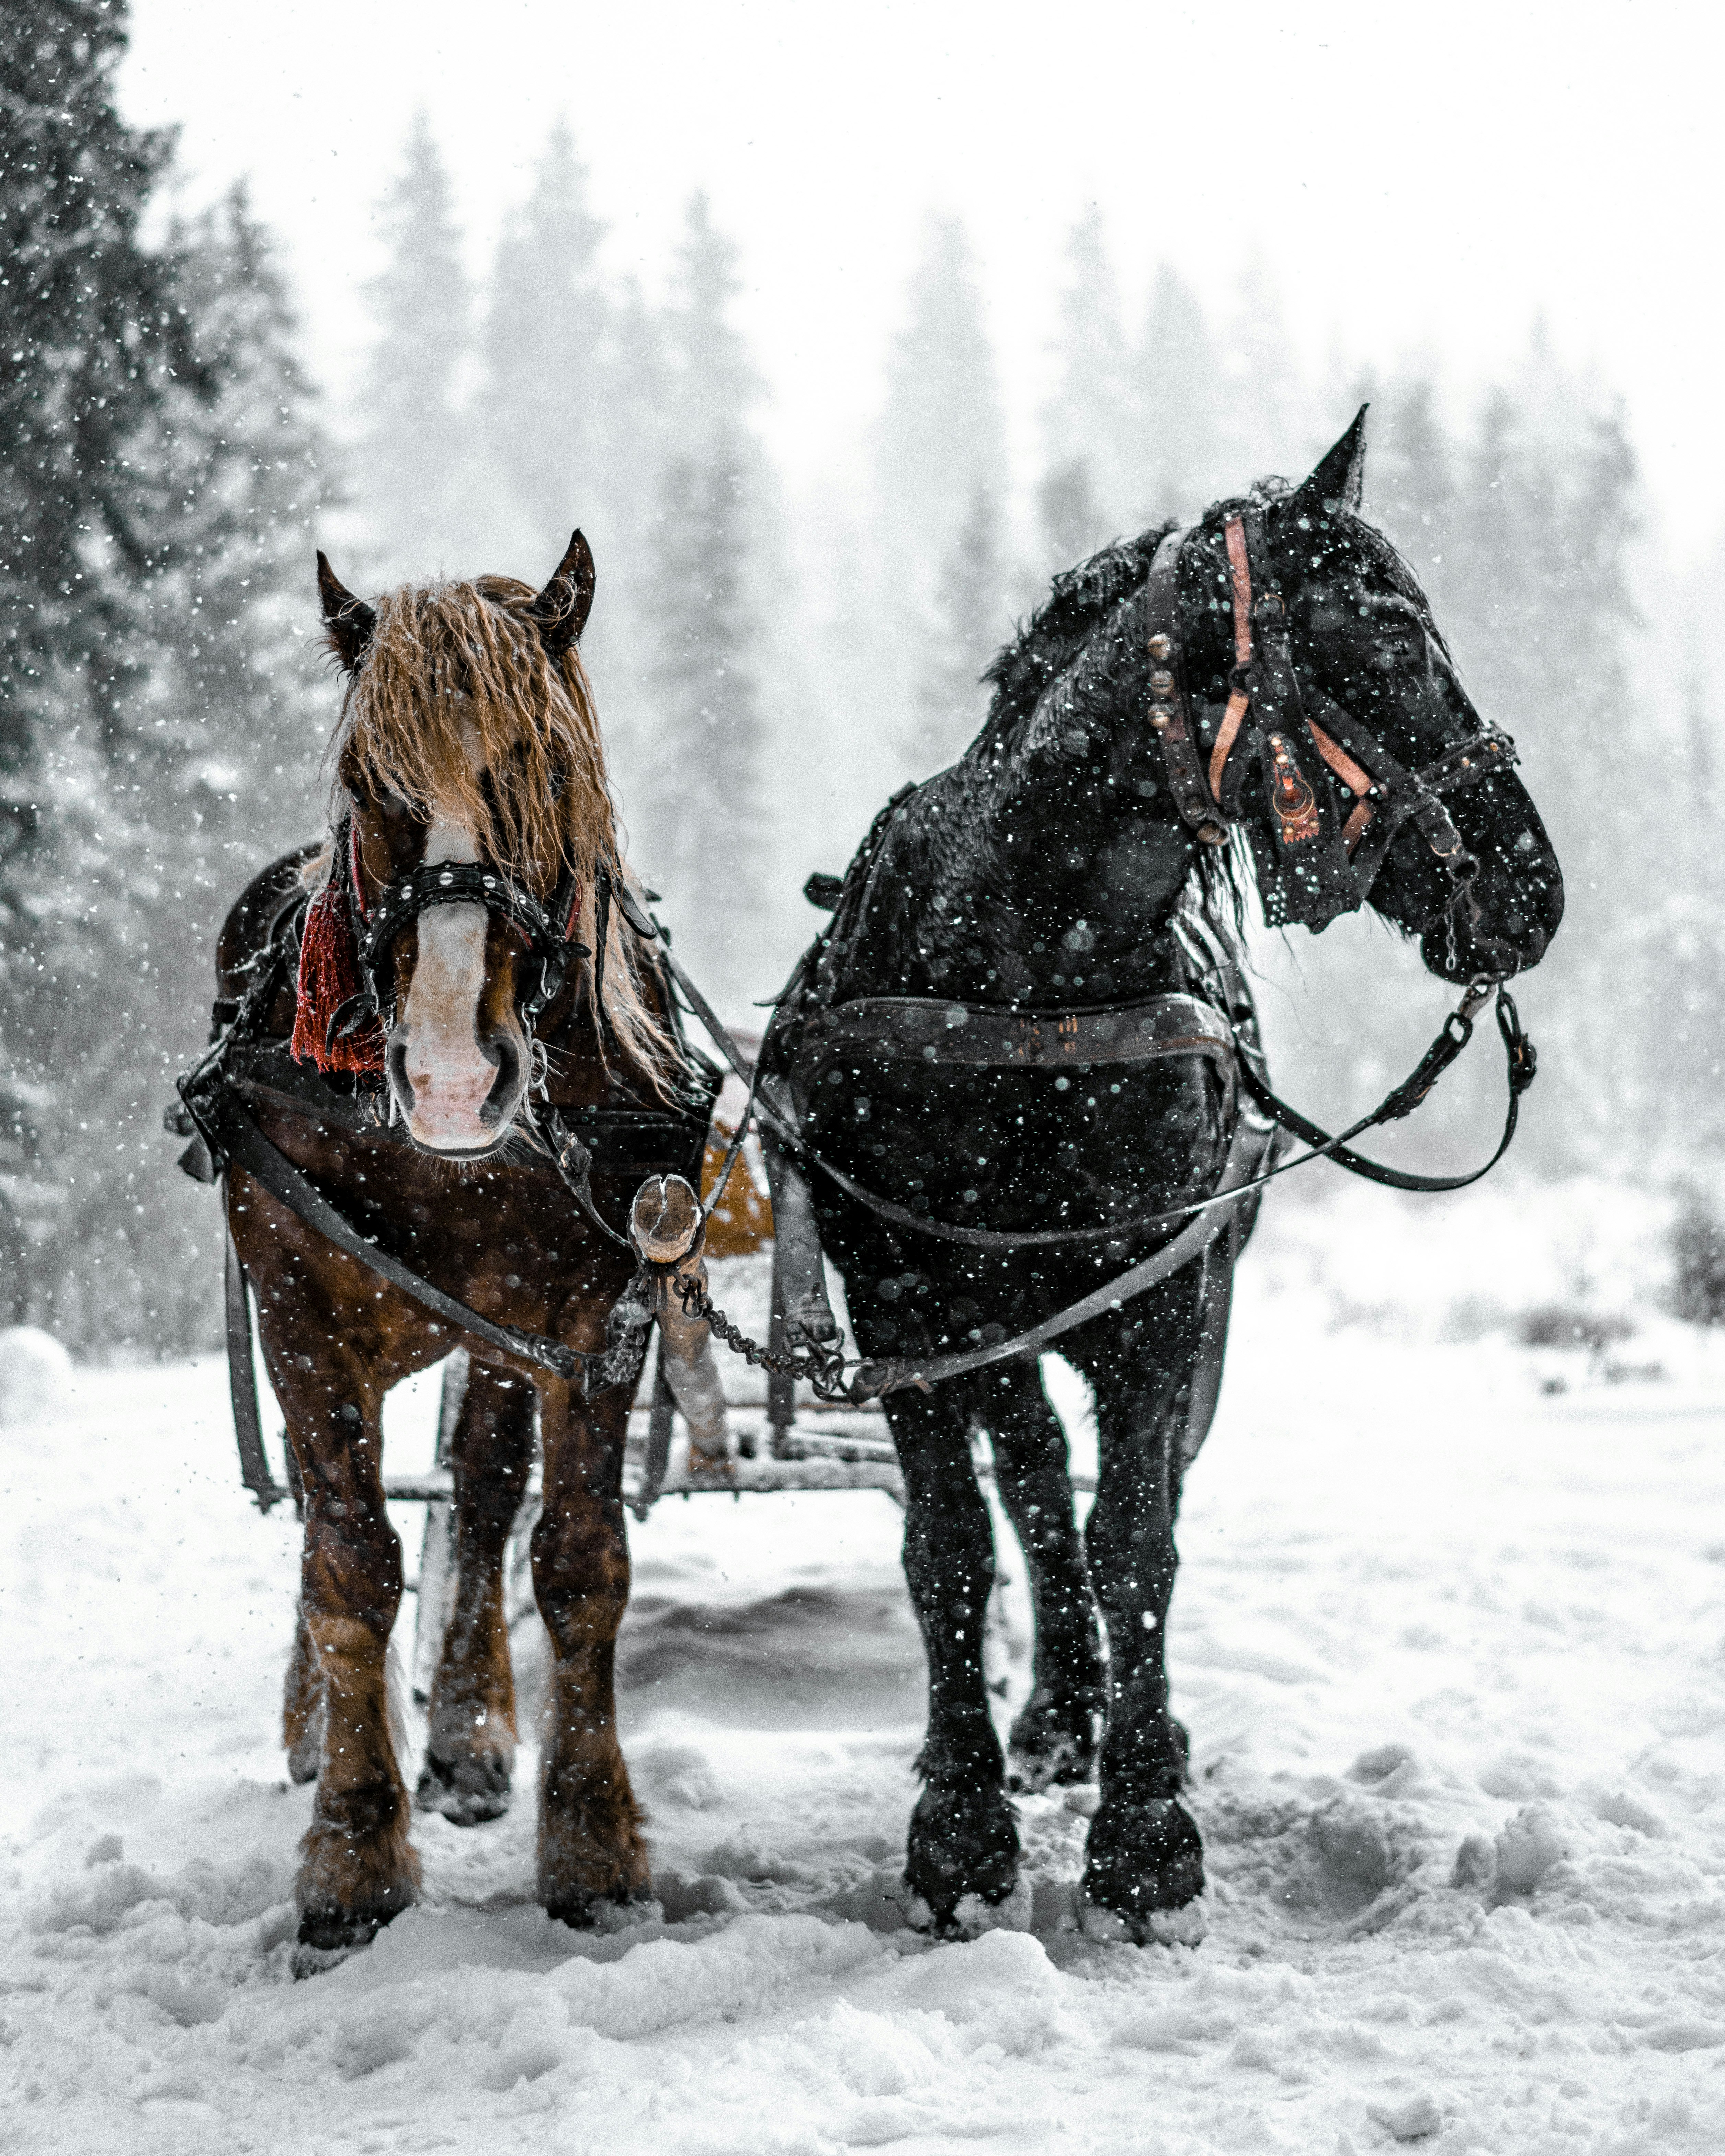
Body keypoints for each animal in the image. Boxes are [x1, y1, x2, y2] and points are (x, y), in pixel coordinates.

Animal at [190, 535, 721, 1962]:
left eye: (536, 763)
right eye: (371, 783)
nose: (446, 1074)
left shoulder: (589, 1311)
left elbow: (577, 1559)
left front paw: (591, 1843)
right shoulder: (296, 1297)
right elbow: (348, 1560)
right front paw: (351, 1852)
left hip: (496, 1327)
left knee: (481, 1492)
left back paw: (474, 1730)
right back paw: (318, 1727)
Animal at [759, 411, 1564, 1940]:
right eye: (1386, 634)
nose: (1531, 885)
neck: (1024, 975)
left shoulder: (1160, 1297)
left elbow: (1138, 1537)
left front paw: (1144, 1837)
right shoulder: (908, 1308)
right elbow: (952, 1545)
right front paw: (960, 1829)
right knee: (1029, 1480)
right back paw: (1054, 1712)